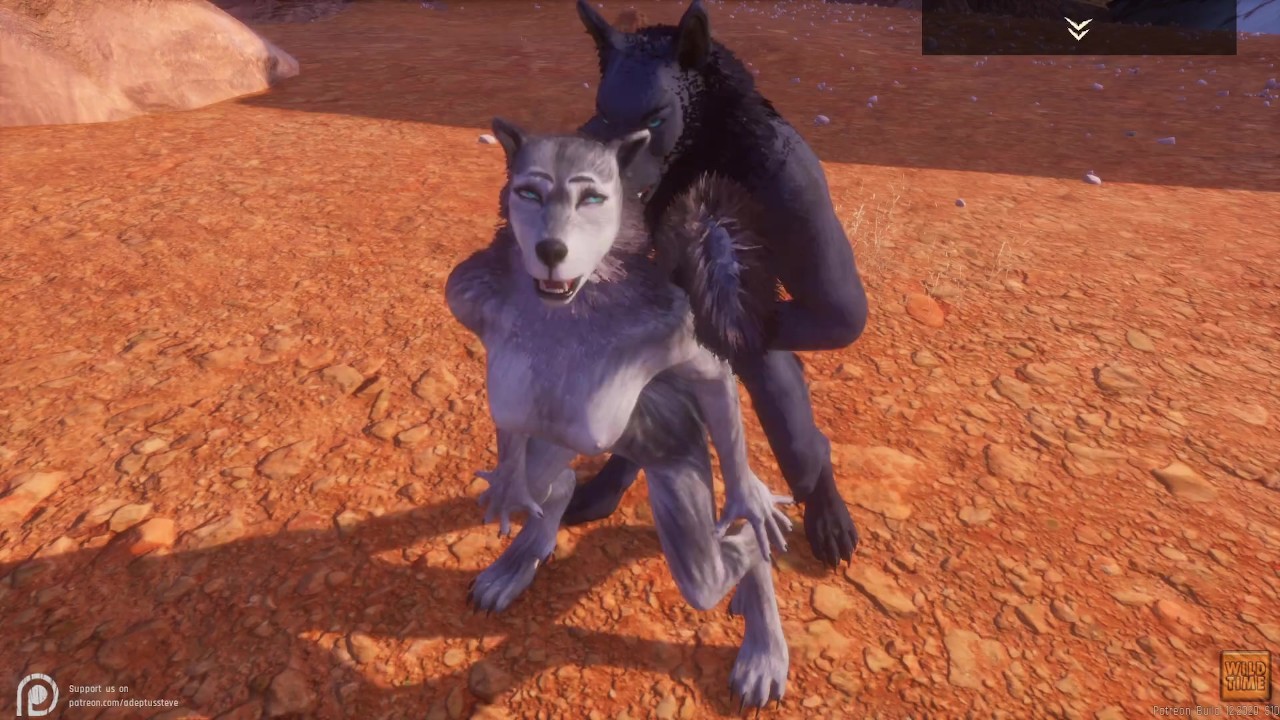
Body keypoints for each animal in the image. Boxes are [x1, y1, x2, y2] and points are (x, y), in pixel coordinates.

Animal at [445, 119, 793, 707]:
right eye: (529, 193)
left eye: (592, 198)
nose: (551, 248)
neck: (569, 308)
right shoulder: (469, 296)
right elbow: (515, 453)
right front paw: (510, 497)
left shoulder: (671, 327)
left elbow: (715, 376)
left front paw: (748, 495)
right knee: (553, 484)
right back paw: (521, 553)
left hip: (678, 450)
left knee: (720, 563)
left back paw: (762, 643)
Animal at [562, 0, 870, 568]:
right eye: (602, 119)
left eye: (655, 120)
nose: (603, 187)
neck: (705, 148)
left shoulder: (792, 197)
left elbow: (826, 319)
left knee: (780, 386)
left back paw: (825, 511)